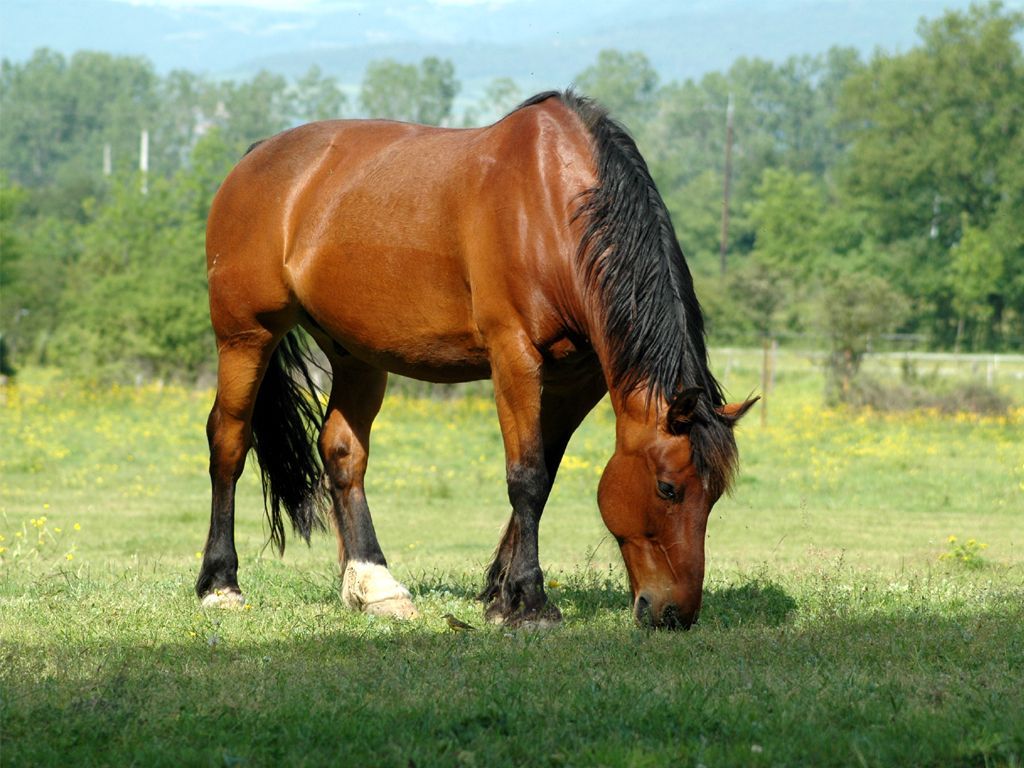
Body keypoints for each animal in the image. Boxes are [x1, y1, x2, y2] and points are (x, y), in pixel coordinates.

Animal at [199, 91, 757, 630]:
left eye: (714, 496)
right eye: (667, 488)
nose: (675, 614)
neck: (554, 207)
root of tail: (255, 157)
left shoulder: (579, 378)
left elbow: (545, 474)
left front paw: (500, 593)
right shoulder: (514, 355)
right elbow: (526, 476)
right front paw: (529, 602)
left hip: (355, 352)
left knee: (342, 452)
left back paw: (375, 587)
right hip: (245, 336)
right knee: (228, 441)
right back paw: (220, 584)